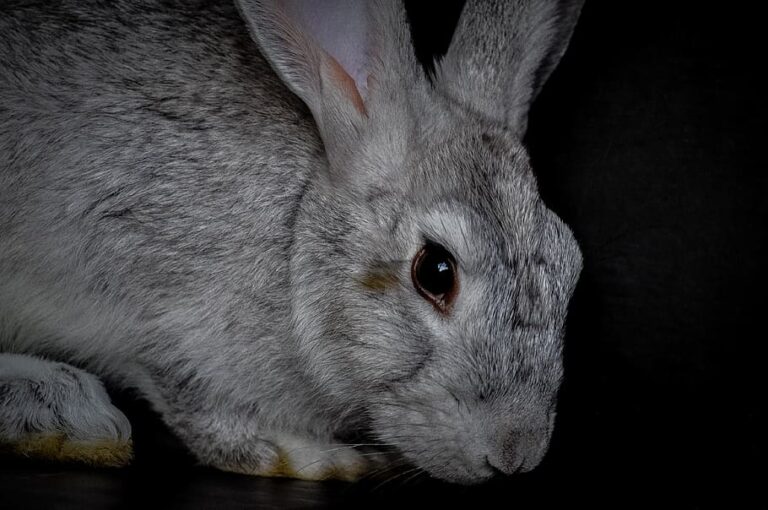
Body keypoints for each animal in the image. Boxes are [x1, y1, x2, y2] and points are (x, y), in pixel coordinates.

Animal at [0, 0, 584, 484]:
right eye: (435, 271)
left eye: (572, 265)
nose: (515, 453)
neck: (295, 234)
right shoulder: (152, 304)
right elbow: (206, 414)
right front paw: (321, 458)